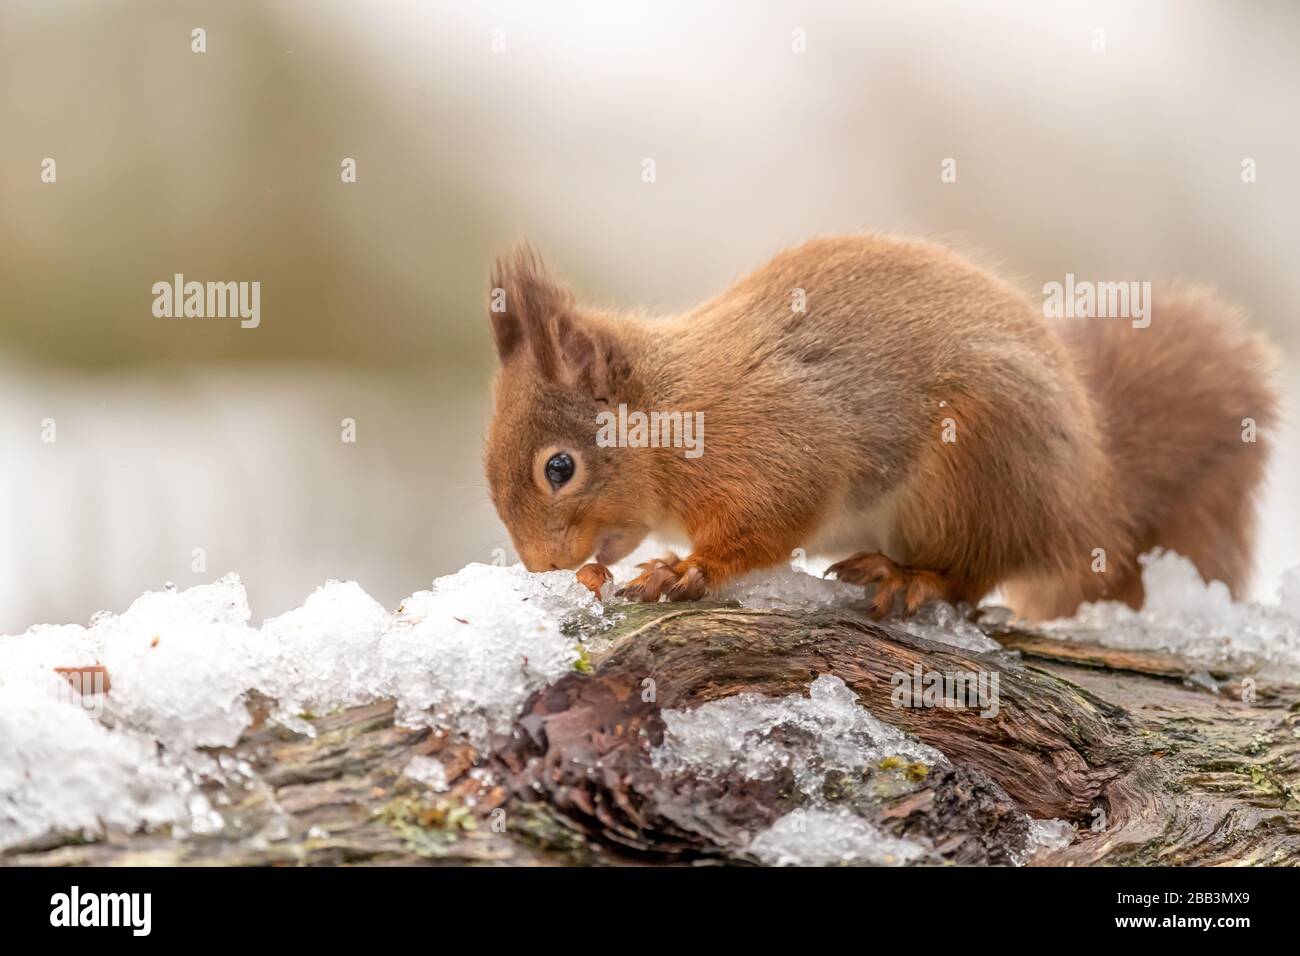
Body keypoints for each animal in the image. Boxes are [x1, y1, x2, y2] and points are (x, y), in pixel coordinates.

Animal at [483, 235, 1278, 620]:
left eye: (559, 468)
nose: (543, 567)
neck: (672, 411)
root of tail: (1094, 502)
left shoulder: (772, 441)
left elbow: (774, 516)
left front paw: (686, 569)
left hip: (975, 466)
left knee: (975, 573)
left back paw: (908, 577)